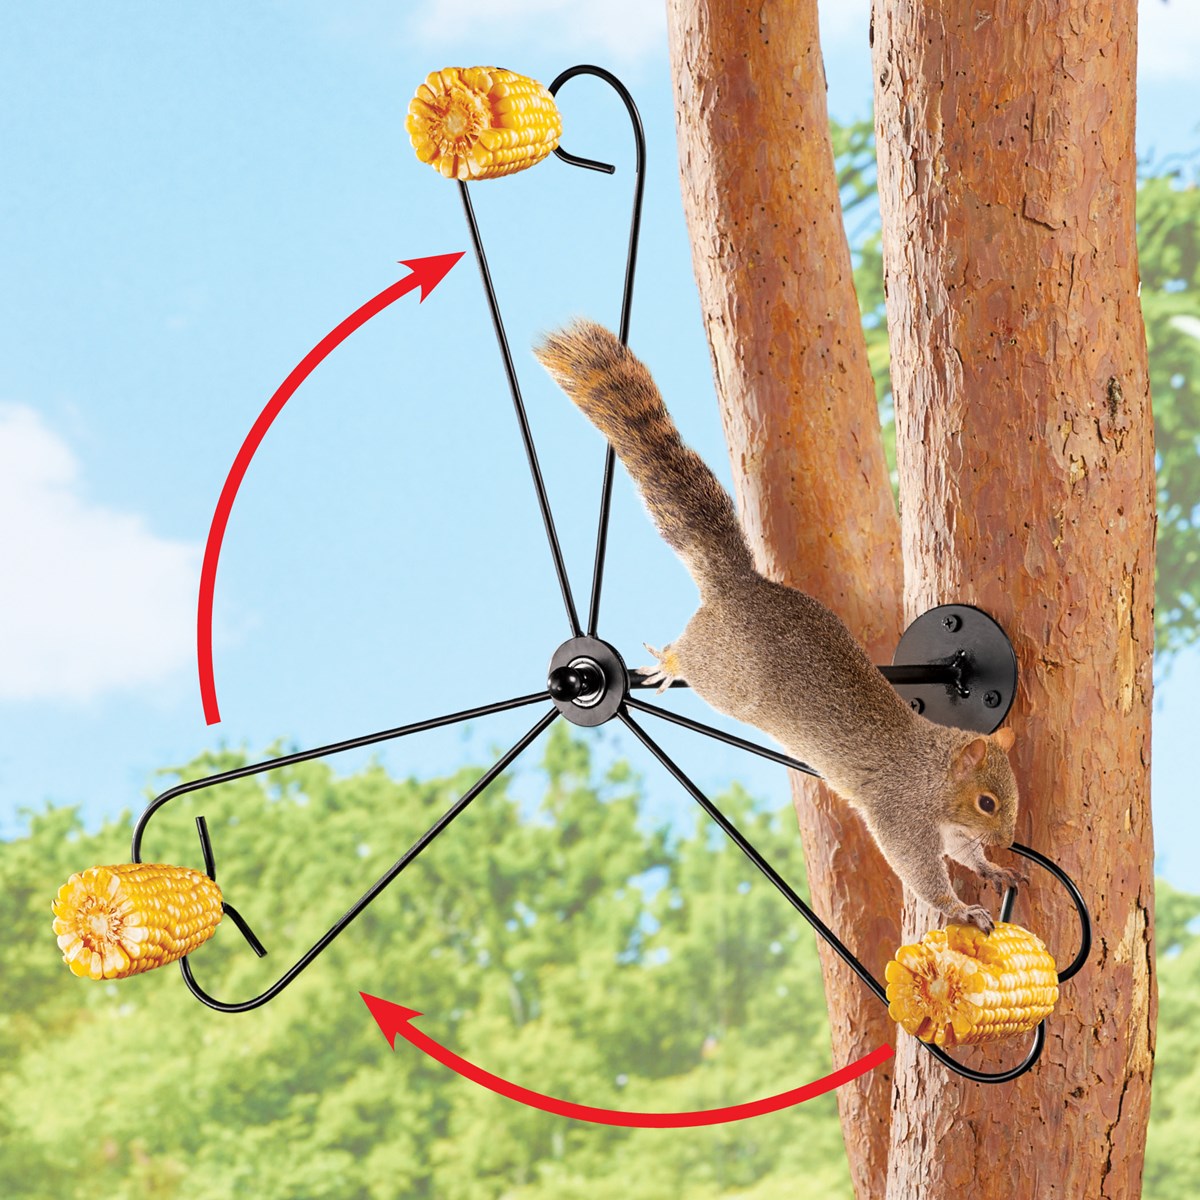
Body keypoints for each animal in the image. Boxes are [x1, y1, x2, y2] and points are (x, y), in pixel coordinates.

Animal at [534, 319, 1025, 934]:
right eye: (987, 802)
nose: (1005, 840)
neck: (933, 769)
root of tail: (739, 586)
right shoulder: (900, 814)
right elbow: (920, 869)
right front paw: (960, 908)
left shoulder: (946, 824)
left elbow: (959, 850)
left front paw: (991, 869)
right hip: (721, 676)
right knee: (690, 657)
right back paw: (668, 660)